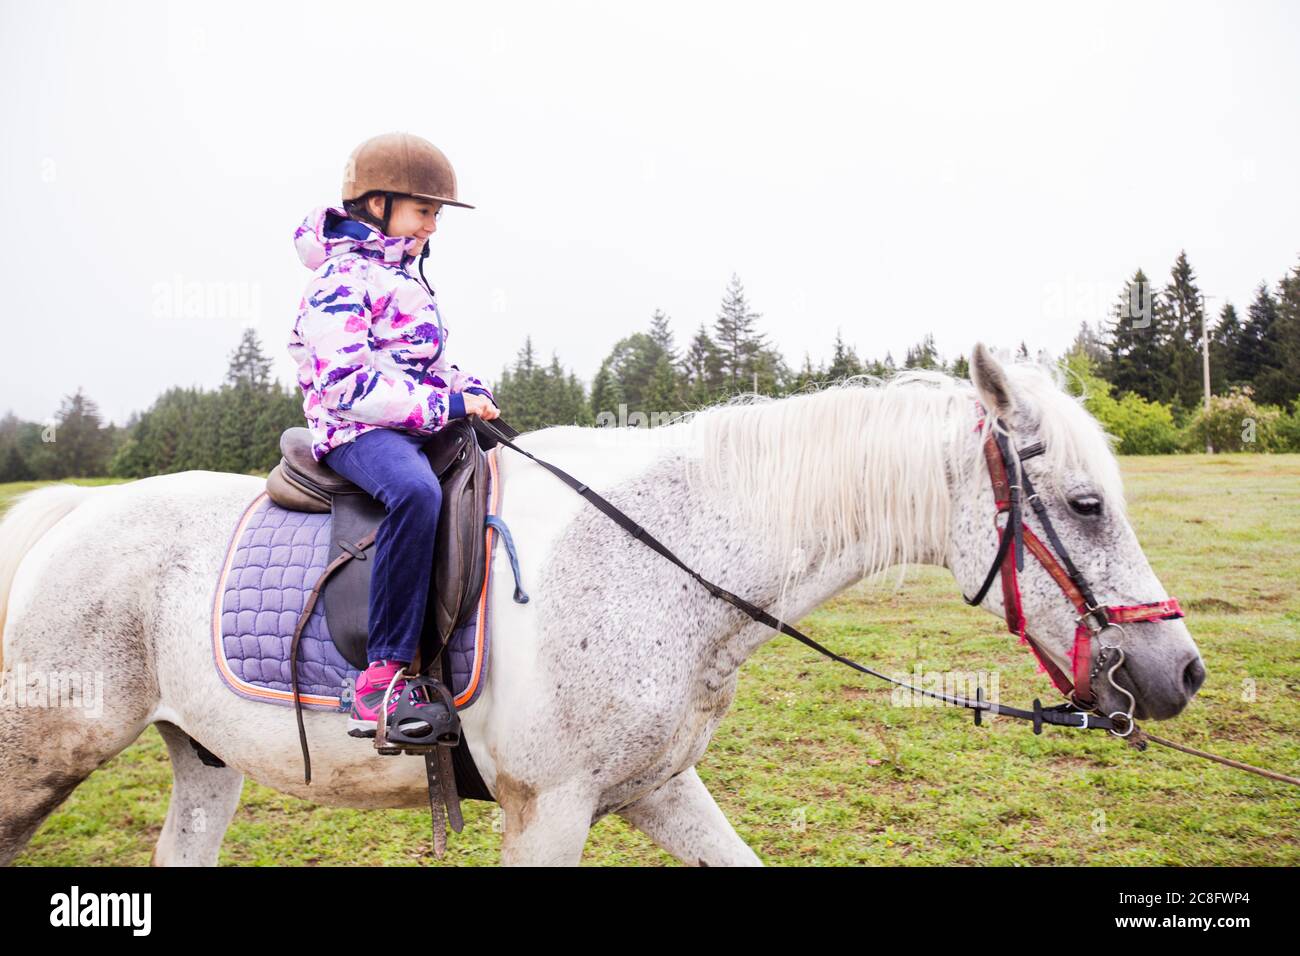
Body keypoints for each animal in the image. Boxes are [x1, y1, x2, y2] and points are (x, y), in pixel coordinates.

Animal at [0, 344, 1205, 866]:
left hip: (203, 759)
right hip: (45, 749)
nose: (1181, 671)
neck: (664, 560)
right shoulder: (549, 807)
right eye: (1086, 504)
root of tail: (68, 514)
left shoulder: (656, 789)